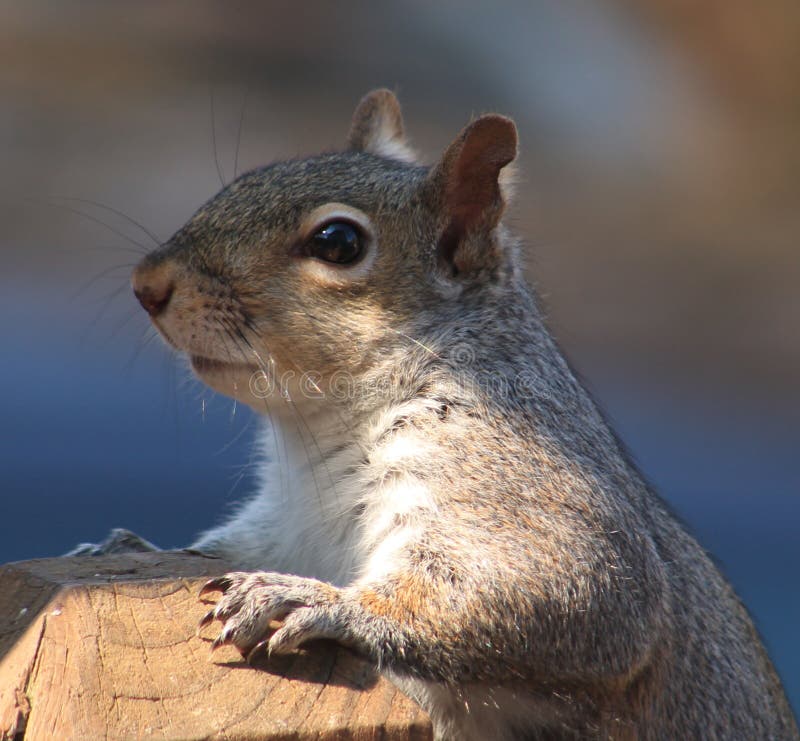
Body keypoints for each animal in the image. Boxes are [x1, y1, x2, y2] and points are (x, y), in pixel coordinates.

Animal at [90, 89, 797, 739]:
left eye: (338, 241)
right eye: (241, 182)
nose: (148, 284)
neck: (317, 433)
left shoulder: (505, 471)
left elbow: (570, 589)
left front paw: (306, 598)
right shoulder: (285, 521)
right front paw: (134, 547)